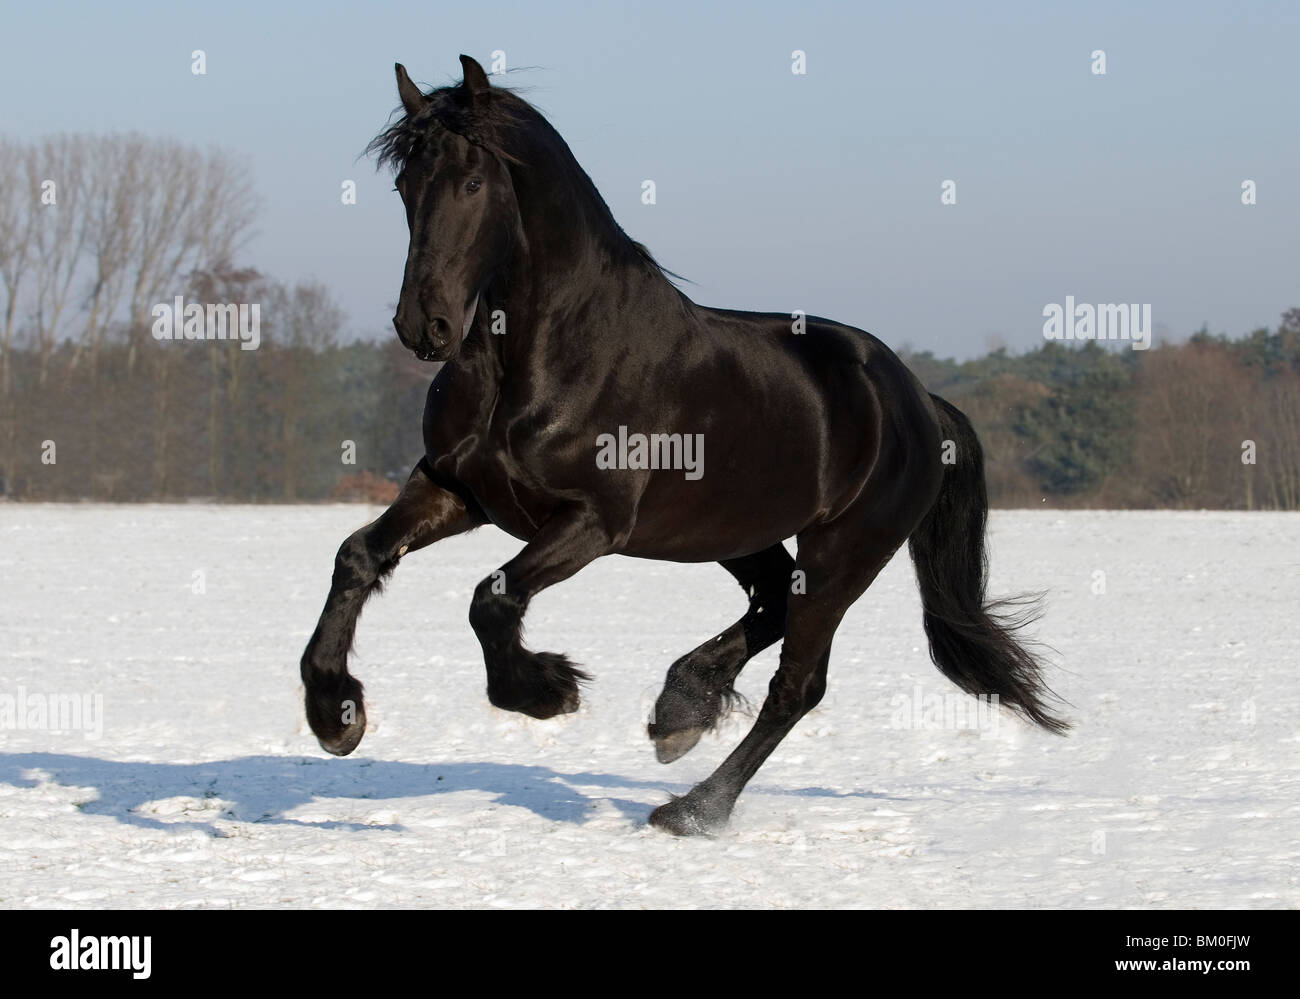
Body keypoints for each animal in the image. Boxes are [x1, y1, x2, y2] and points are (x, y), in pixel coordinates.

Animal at [300, 55, 1068, 836]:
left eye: (473, 182)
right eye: (405, 185)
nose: (422, 325)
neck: (544, 353)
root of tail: (917, 400)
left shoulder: (593, 521)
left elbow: (492, 598)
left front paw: (549, 689)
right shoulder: (458, 489)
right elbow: (357, 556)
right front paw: (335, 713)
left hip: (843, 554)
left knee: (798, 684)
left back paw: (693, 806)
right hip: (738, 532)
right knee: (771, 604)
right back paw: (681, 709)